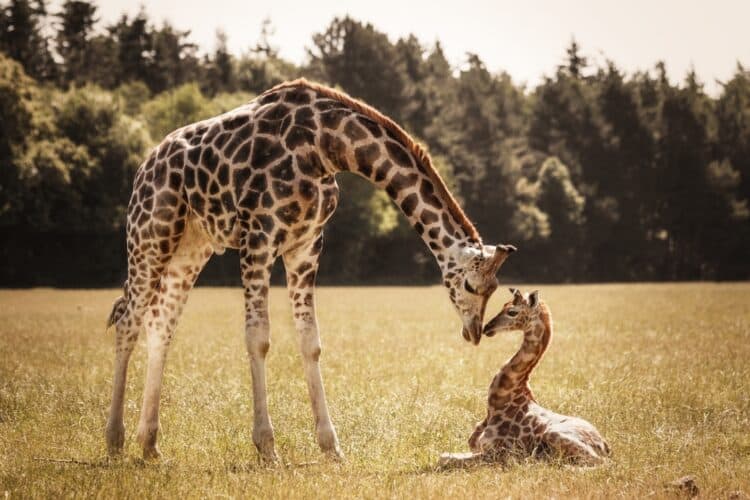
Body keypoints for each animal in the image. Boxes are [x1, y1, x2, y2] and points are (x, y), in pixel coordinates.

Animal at [104, 78, 517, 462]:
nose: (474, 332)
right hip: (151, 232)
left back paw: (150, 445)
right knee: (129, 322)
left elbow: (310, 340)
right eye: (471, 285)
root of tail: (145, 166)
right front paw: (267, 447)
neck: (326, 146)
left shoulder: (306, 244)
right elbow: (258, 337)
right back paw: (114, 440)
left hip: (191, 246)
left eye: (494, 289)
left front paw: (330, 446)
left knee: (160, 324)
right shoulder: (259, 236)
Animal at [439, 288, 610, 468]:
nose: (487, 327)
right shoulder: (476, 447)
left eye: (512, 312)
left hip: (555, 434)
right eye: (503, 306)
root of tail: (605, 446)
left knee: (601, 463)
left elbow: (444, 458)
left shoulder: (500, 454)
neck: (497, 404)